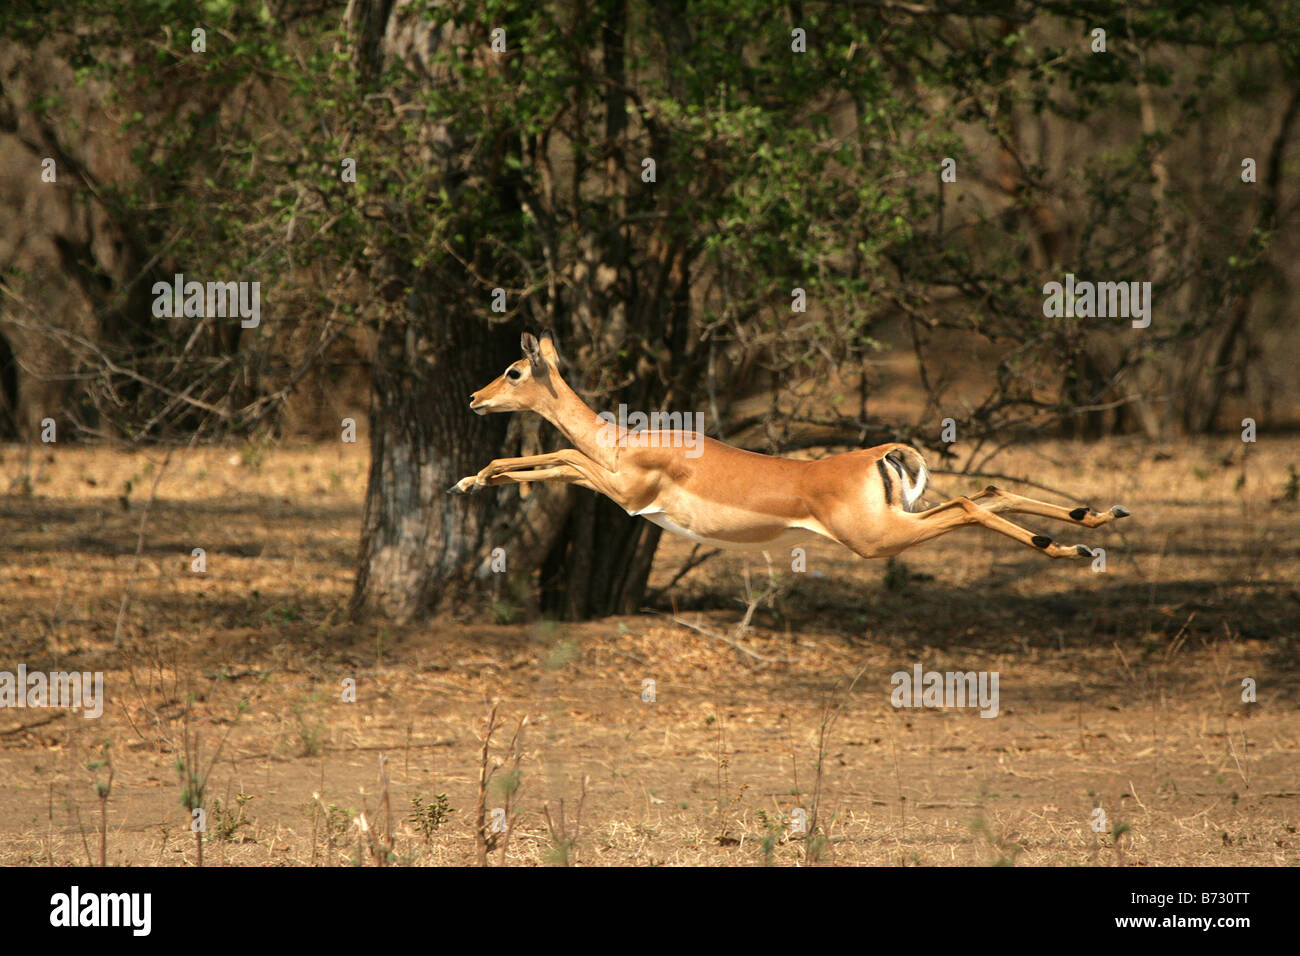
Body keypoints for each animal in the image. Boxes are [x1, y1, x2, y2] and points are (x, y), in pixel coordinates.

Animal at [450, 332, 1130, 560]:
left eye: (514, 370)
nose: (475, 398)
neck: (623, 439)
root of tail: (877, 455)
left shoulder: (625, 491)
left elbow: (563, 457)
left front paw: (474, 477)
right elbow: (558, 460)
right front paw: (470, 480)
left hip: (877, 539)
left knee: (969, 505)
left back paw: (1065, 546)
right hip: (901, 518)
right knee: (990, 492)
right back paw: (1093, 521)